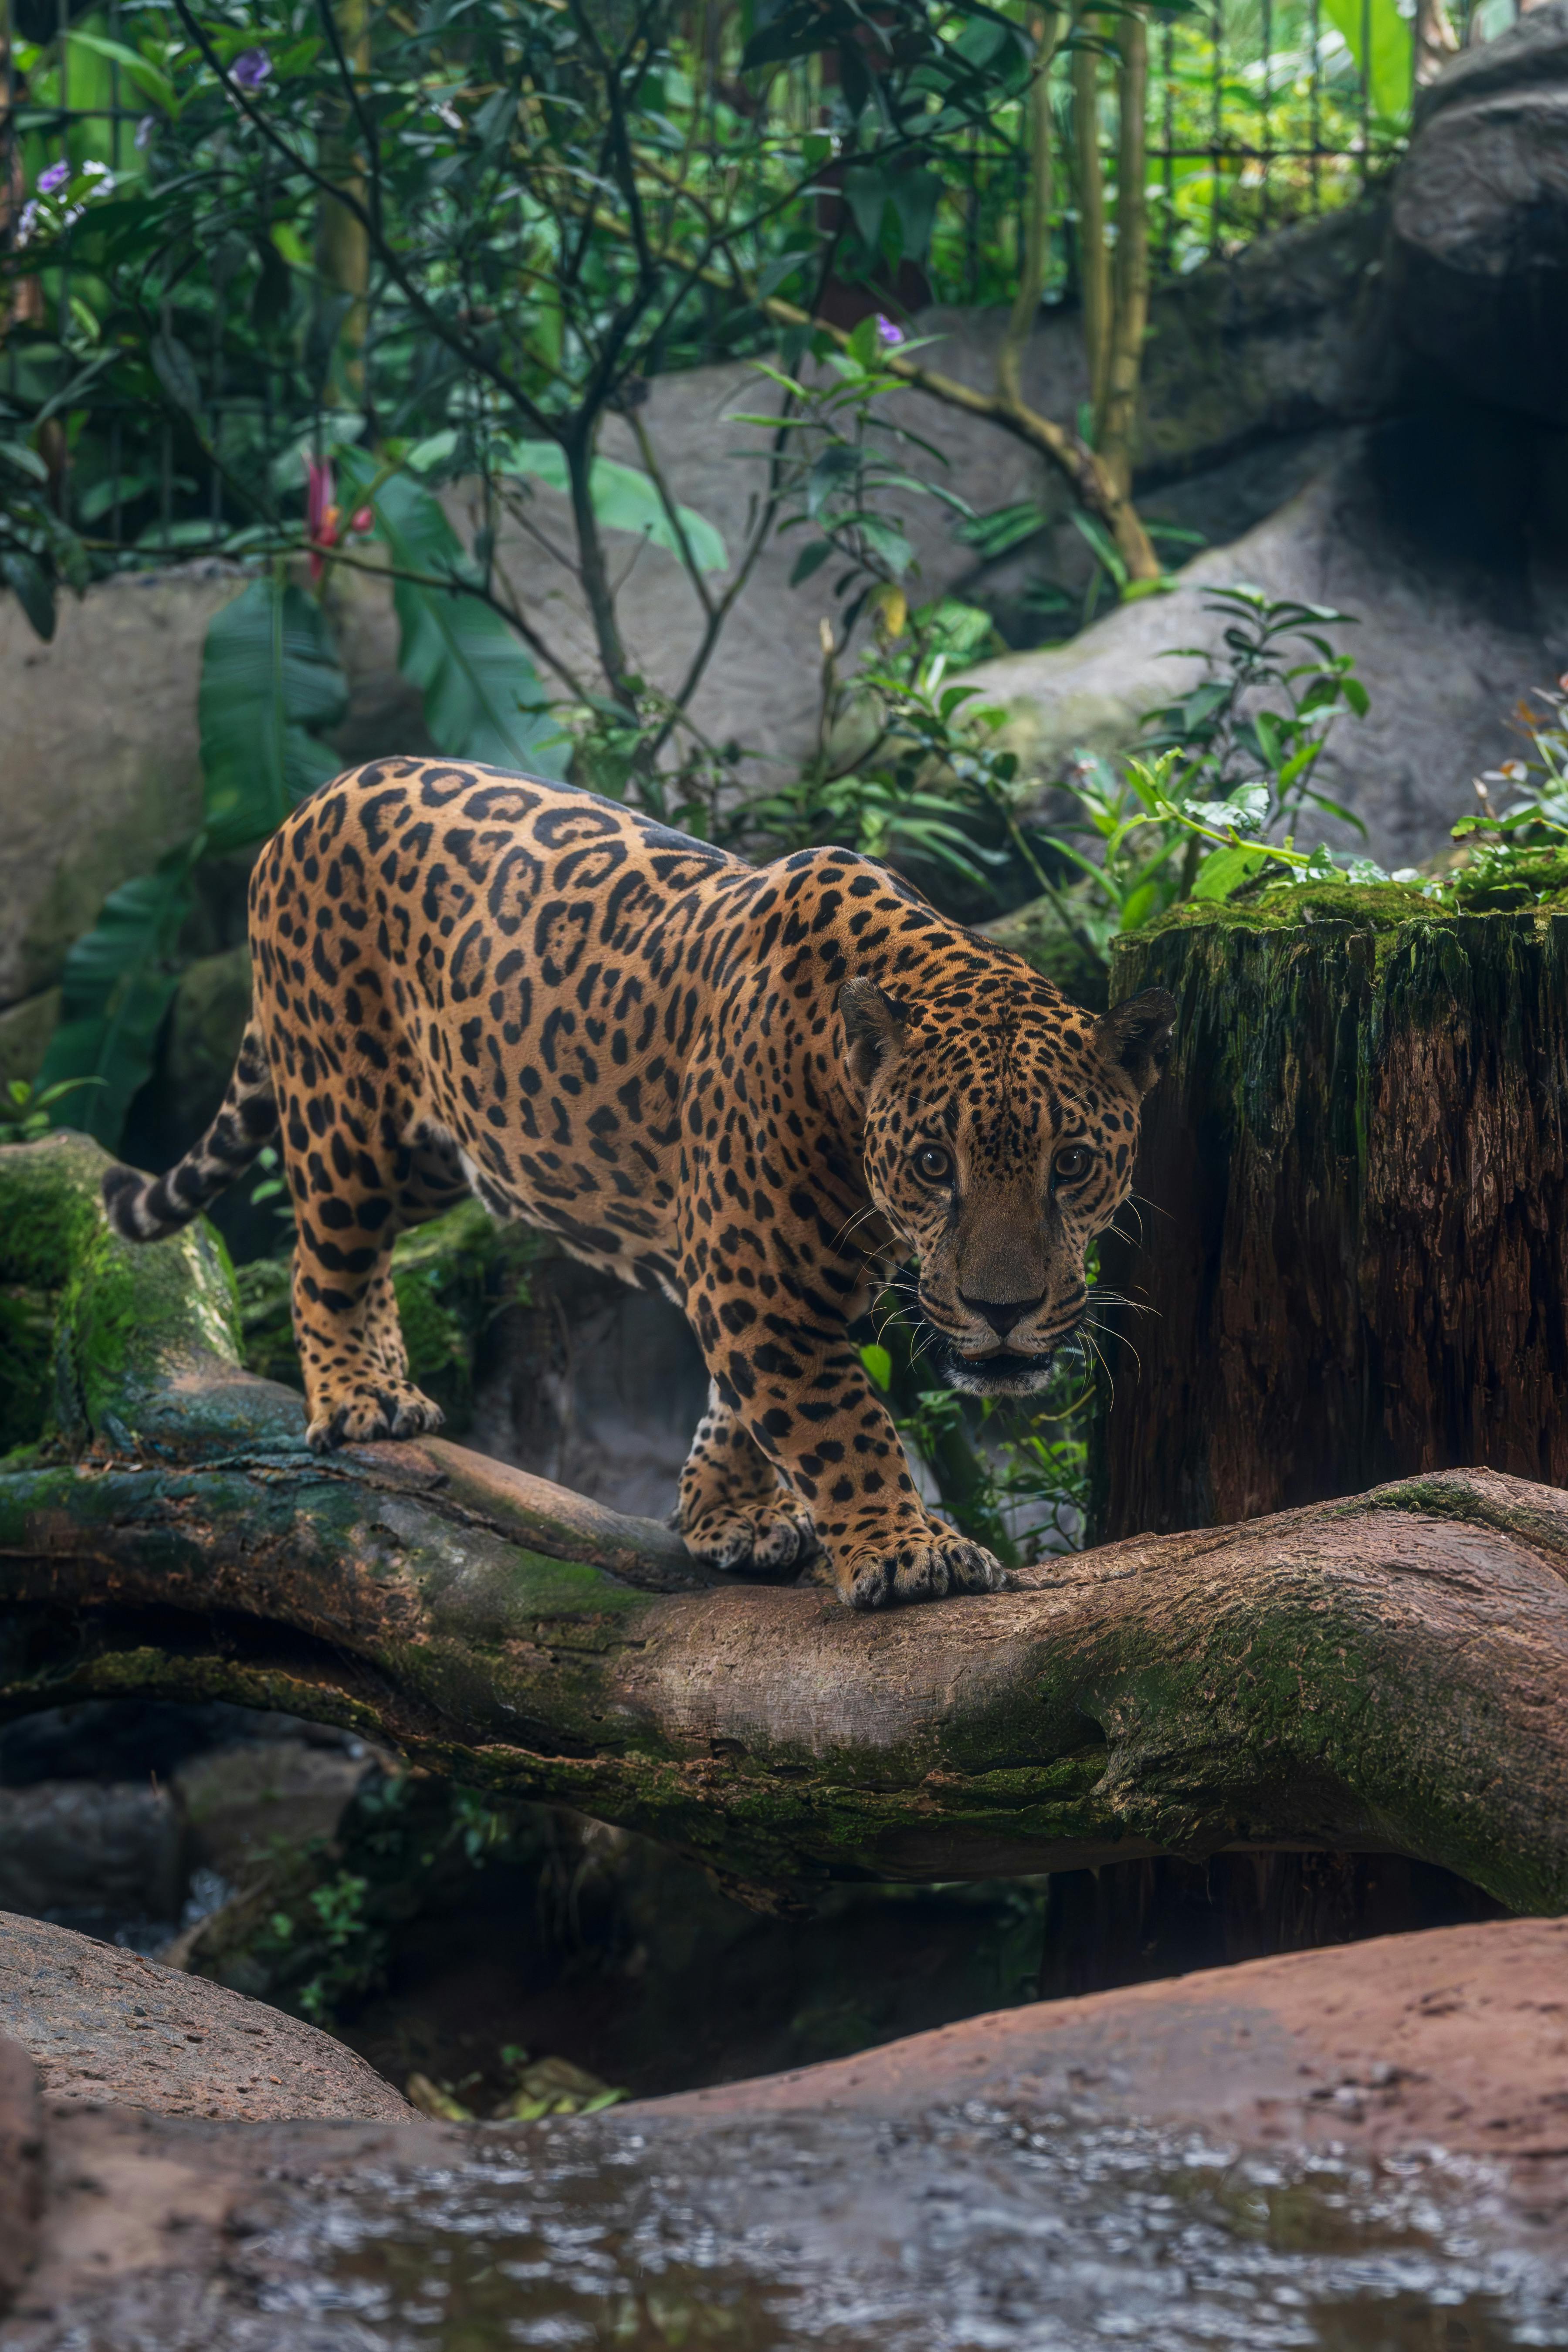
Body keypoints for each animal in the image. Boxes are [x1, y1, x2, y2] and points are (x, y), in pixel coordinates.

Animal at [103, 759, 1174, 1610]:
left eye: (1070, 1163)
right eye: (931, 1165)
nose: (1003, 1312)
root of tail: (317, 794)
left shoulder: (768, 1281)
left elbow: (744, 1406)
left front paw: (725, 1513)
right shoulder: (758, 1282)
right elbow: (840, 1421)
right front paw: (908, 1550)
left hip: (445, 1144)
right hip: (348, 1110)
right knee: (322, 1253)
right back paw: (360, 1397)